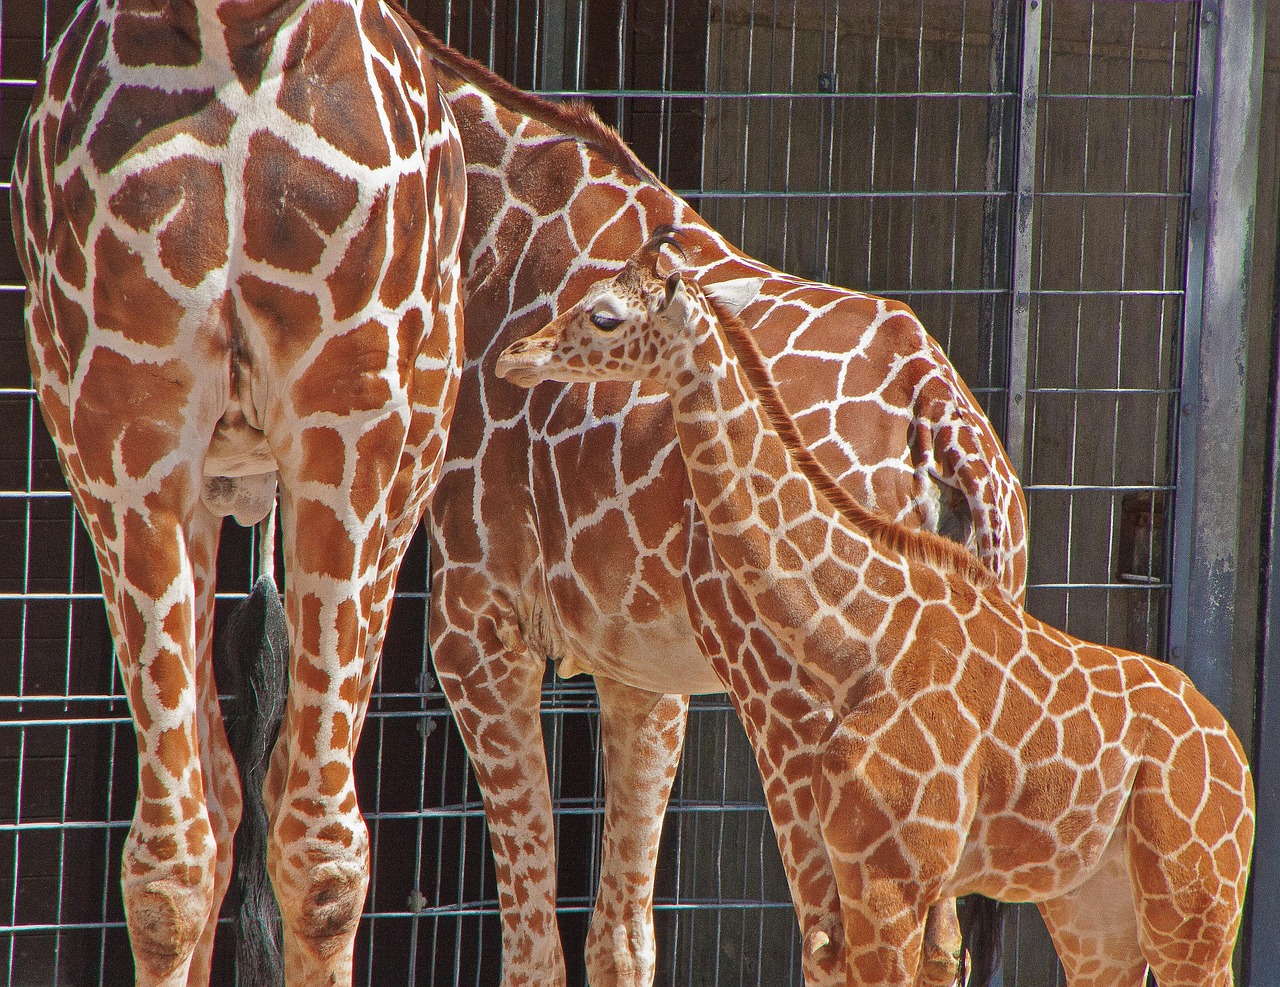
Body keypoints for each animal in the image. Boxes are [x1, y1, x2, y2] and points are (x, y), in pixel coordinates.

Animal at [11, 2, 466, 985]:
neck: (234, 30)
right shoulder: (122, 424)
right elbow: (168, 867)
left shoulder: (353, 415)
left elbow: (322, 857)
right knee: (220, 803)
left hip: (415, 449)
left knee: (288, 791)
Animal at [404, 22, 1026, 987]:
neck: (492, 220)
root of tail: (939, 412)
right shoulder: (638, 664)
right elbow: (621, 935)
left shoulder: (476, 619)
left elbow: (534, 942)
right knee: (937, 946)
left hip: (808, 711)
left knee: (846, 941)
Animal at [495, 229, 1256, 987]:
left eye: (603, 316)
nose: (515, 355)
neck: (857, 638)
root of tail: (1235, 753)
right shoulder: (858, 868)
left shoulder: (894, 876)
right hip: (1093, 906)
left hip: (1195, 902)